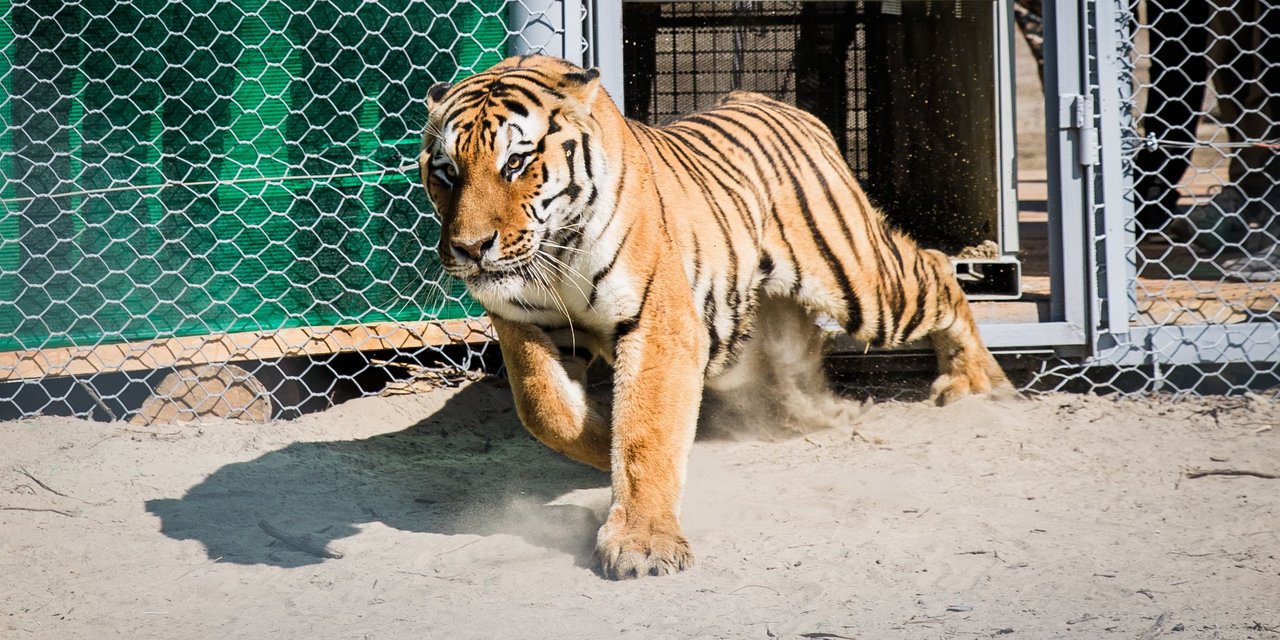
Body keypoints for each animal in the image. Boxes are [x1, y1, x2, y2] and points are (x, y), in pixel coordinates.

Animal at [418, 55, 1012, 580]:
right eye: (446, 172)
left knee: (937, 266)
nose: (470, 249)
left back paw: (976, 381)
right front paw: (601, 438)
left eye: (515, 162)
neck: (555, 250)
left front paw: (643, 543)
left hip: (863, 285)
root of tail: (768, 100)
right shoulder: (524, 323)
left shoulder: (659, 324)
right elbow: (546, 409)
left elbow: (646, 432)